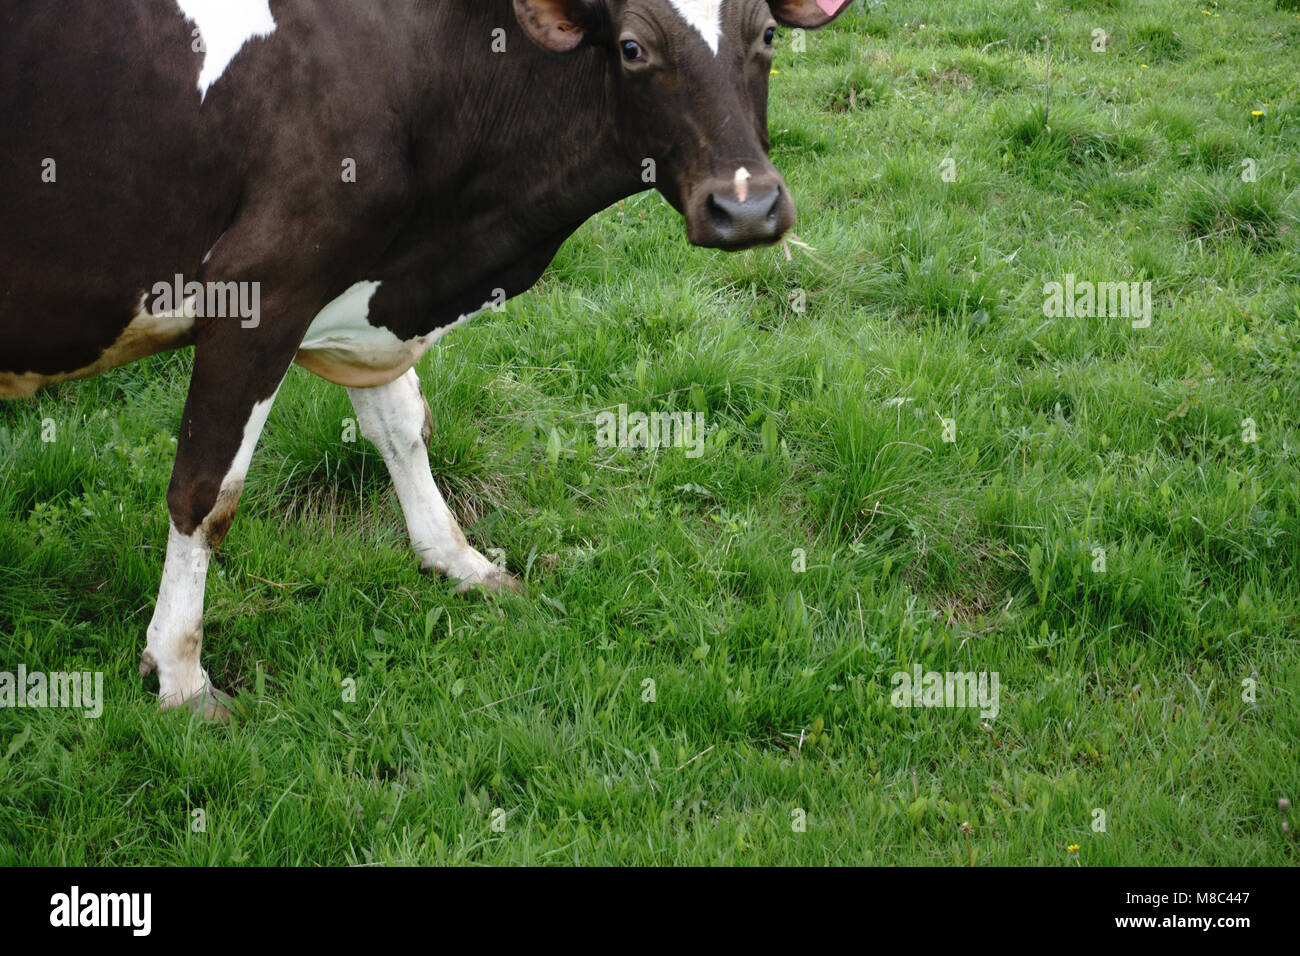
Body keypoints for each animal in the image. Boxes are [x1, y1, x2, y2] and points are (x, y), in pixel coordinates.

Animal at [0, 0, 854, 719]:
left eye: (767, 35)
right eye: (633, 48)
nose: (746, 208)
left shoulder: (363, 295)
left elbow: (403, 427)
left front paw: (458, 559)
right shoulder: (257, 294)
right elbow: (206, 494)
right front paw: (179, 674)